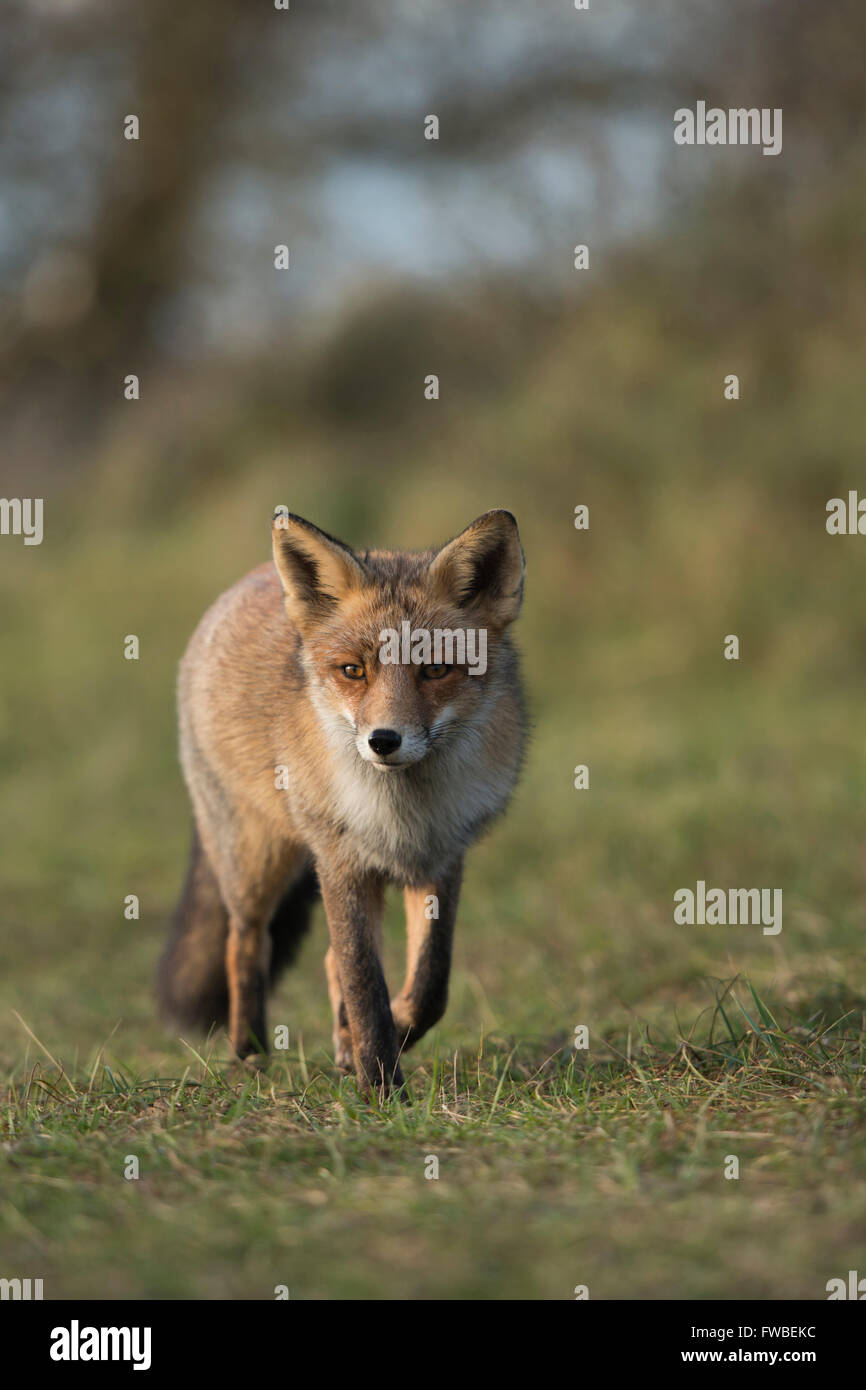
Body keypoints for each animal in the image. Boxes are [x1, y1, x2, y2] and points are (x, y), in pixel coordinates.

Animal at [156, 507, 527, 1094]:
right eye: (354, 670)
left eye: (435, 669)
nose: (383, 740)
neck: (402, 814)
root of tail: (247, 580)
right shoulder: (341, 863)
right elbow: (363, 982)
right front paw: (381, 1085)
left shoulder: (440, 861)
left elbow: (429, 987)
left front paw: (382, 1042)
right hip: (255, 860)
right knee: (245, 944)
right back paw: (249, 1053)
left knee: (325, 960)